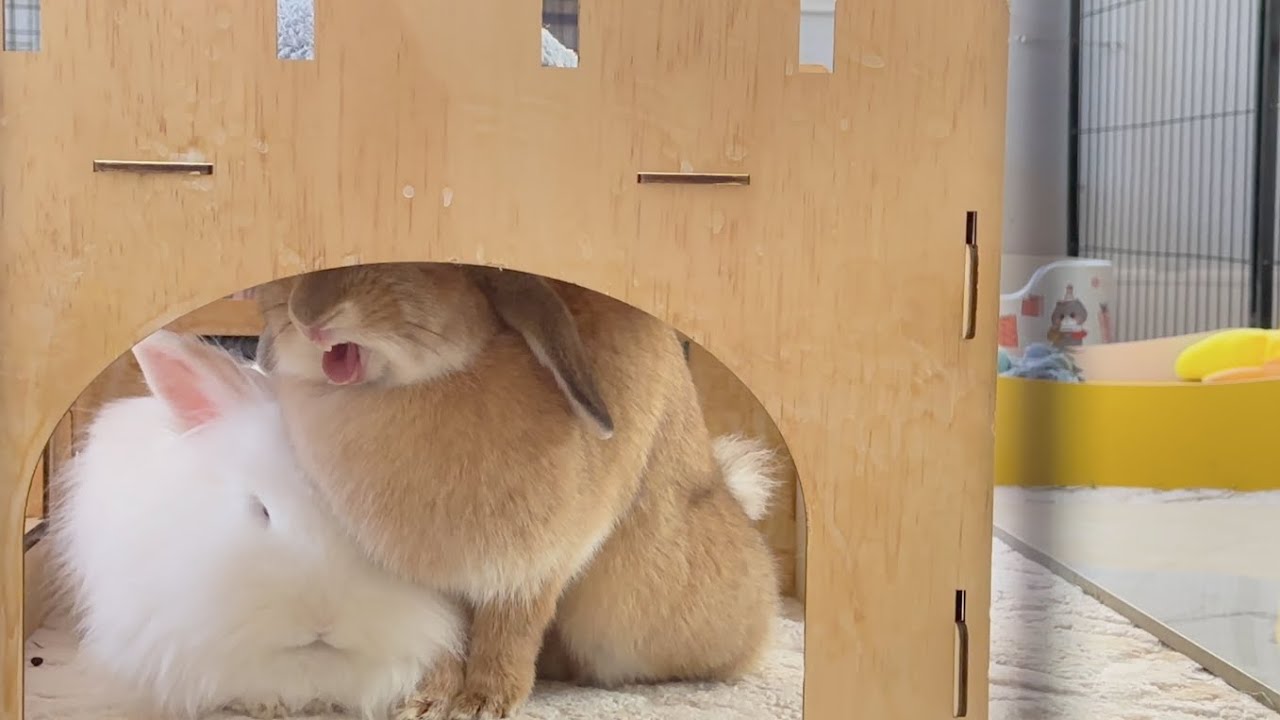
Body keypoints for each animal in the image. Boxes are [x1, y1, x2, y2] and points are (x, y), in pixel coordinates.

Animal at [254, 263, 782, 720]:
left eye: (426, 267)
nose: (308, 317)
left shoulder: (532, 568)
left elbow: (509, 633)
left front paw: (483, 704)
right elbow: (442, 641)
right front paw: (426, 703)